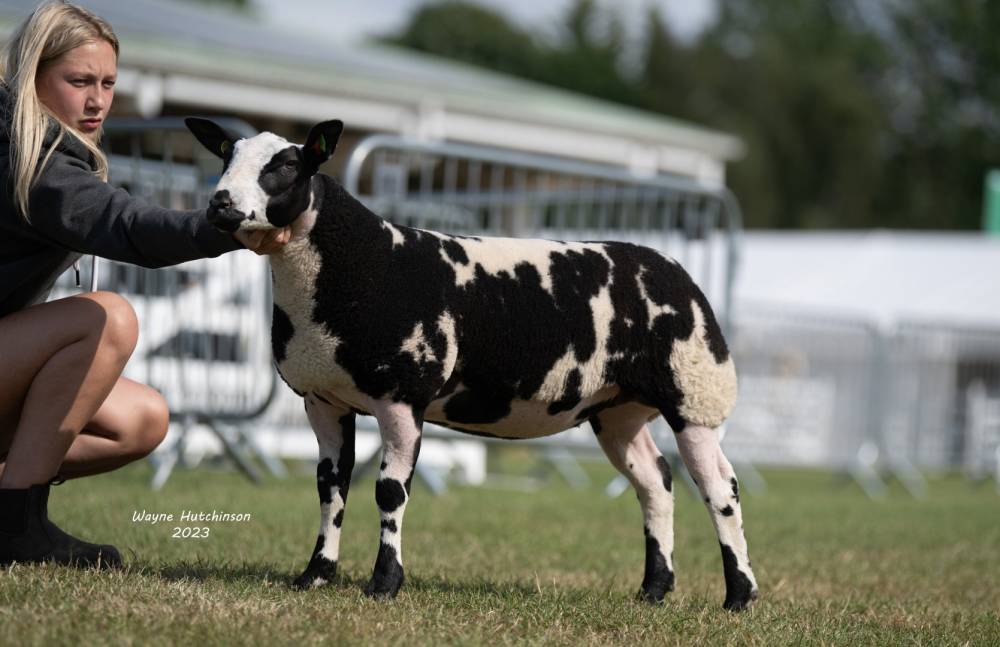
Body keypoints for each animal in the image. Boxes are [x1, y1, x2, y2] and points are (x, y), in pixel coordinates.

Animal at [185, 117, 759, 610]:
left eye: (285, 165)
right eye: (225, 157)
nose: (220, 205)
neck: (358, 263)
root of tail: (673, 269)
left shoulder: (402, 395)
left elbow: (389, 491)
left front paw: (385, 583)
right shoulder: (322, 398)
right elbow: (331, 486)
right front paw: (315, 576)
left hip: (695, 393)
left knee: (721, 488)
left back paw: (740, 596)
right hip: (619, 409)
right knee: (655, 483)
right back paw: (655, 589)